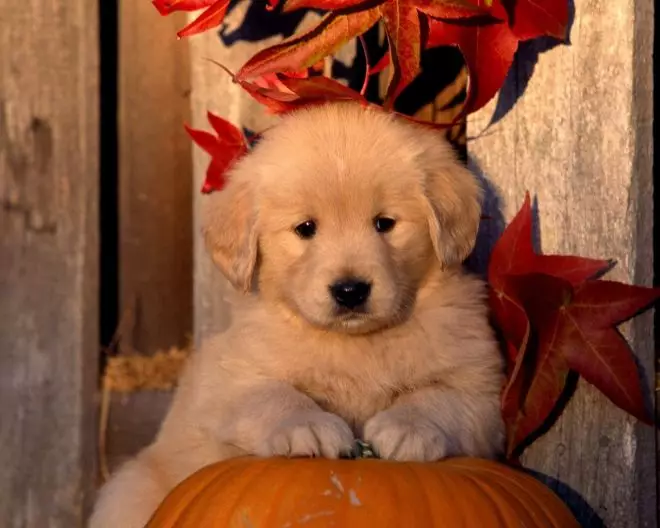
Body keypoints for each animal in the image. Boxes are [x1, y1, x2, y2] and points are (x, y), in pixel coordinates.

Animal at [89, 102, 506, 528]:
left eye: (384, 223)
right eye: (306, 228)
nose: (350, 290)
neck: (354, 343)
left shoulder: (481, 392)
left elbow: (438, 398)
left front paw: (407, 427)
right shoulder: (231, 382)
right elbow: (274, 394)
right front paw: (309, 426)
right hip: (128, 490)